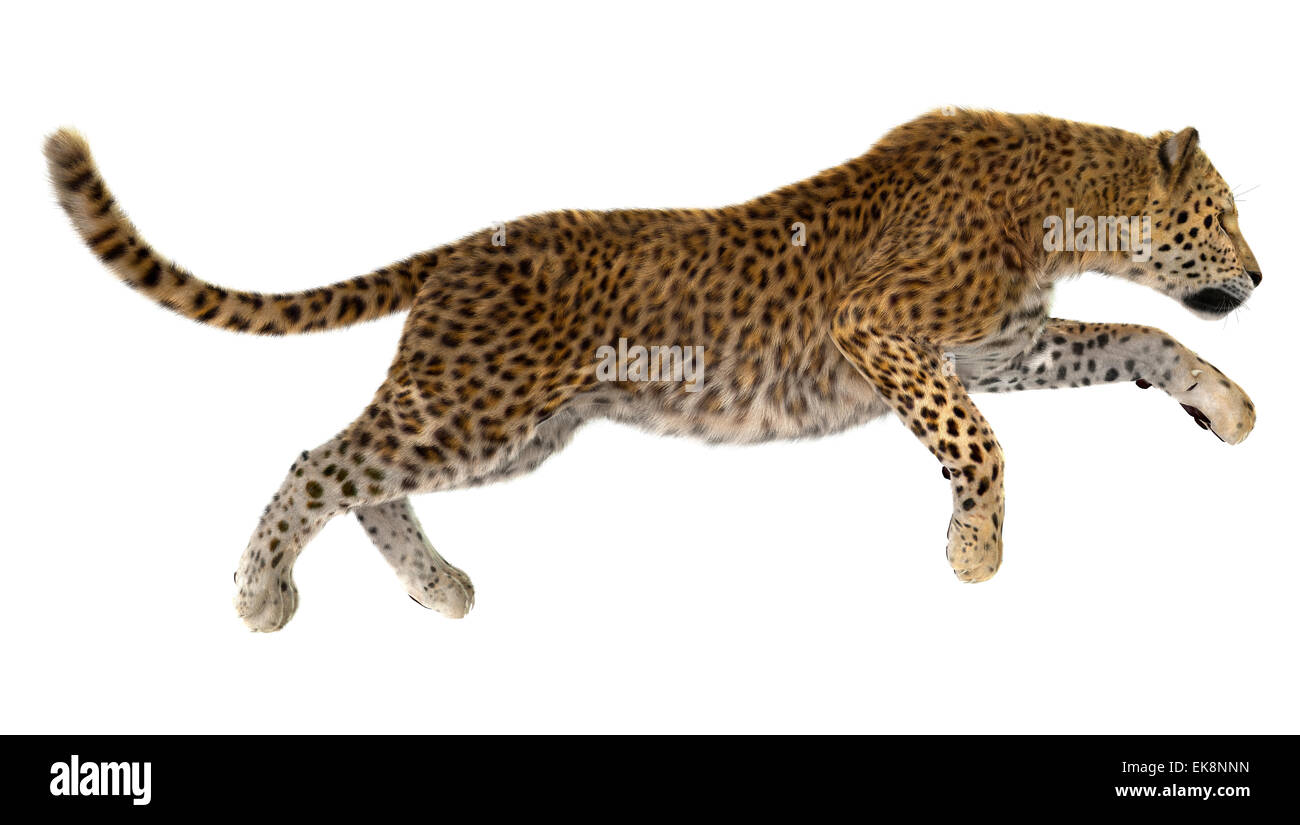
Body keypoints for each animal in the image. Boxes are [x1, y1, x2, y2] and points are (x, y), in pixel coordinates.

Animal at [45, 109, 1261, 632]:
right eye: (1222, 216)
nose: (1257, 275)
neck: (1067, 208)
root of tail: (468, 244)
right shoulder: (878, 326)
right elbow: (981, 441)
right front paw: (973, 549)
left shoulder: (999, 348)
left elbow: (1141, 341)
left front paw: (1226, 403)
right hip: (478, 407)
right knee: (323, 461)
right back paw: (260, 594)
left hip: (515, 433)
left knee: (369, 479)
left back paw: (437, 587)